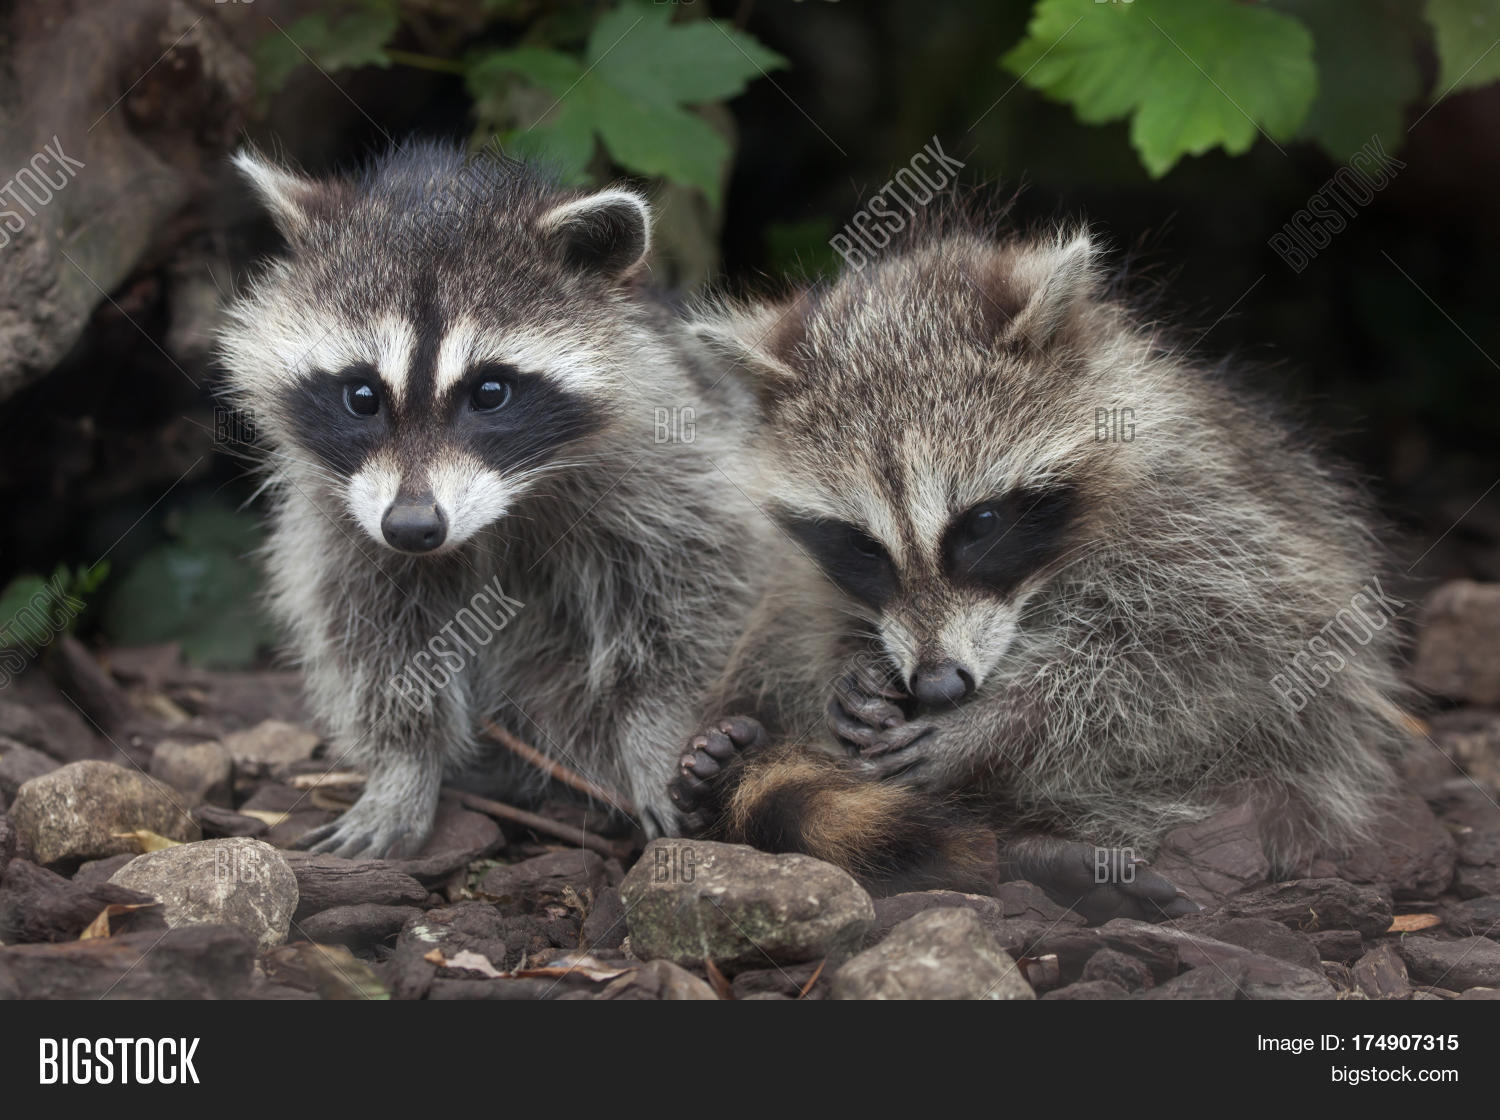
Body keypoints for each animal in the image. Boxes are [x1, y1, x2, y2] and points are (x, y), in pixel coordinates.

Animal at [219, 143, 767, 858]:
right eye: (362, 395)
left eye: (490, 392)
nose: (413, 527)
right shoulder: (339, 516)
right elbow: (370, 636)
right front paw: (402, 767)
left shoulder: (670, 465)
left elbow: (690, 599)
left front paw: (658, 737)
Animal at [671, 221, 1409, 915]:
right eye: (863, 548)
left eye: (982, 524)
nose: (938, 684)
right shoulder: (815, 572)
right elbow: (814, 612)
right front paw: (848, 666)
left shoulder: (1211, 517)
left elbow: (1202, 655)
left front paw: (1006, 723)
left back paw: (1043, 846)